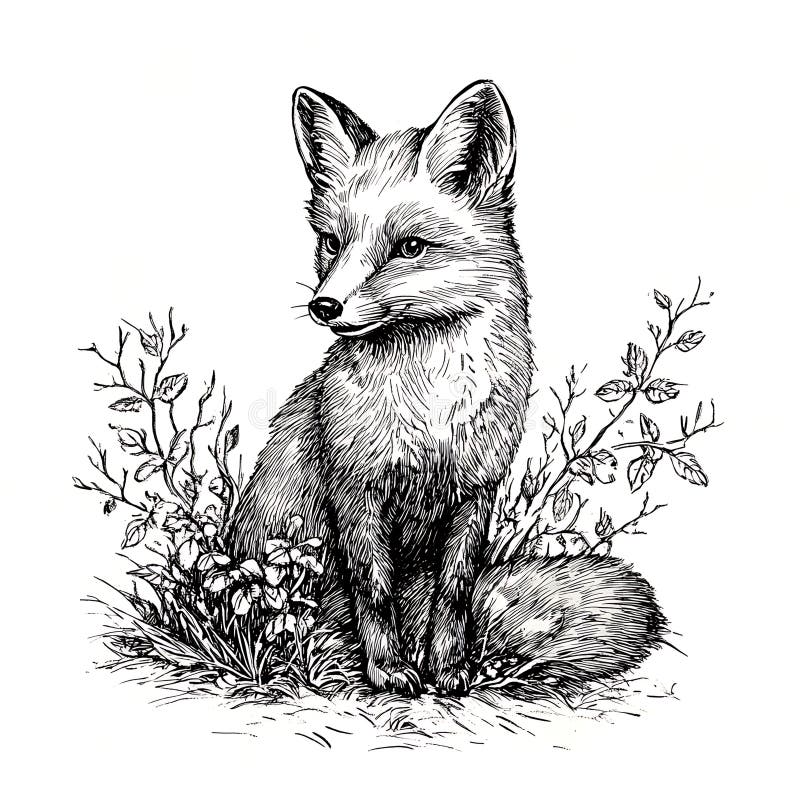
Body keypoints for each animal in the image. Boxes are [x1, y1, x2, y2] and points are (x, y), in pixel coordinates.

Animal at [230, 80, 666, 697]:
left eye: (410, 248)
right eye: (332, 244)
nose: (324, 306)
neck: (430, 411)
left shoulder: (475, 493)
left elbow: (455, 593)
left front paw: (448, 668)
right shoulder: (357, 490)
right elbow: (375, 592)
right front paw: (388, 670)